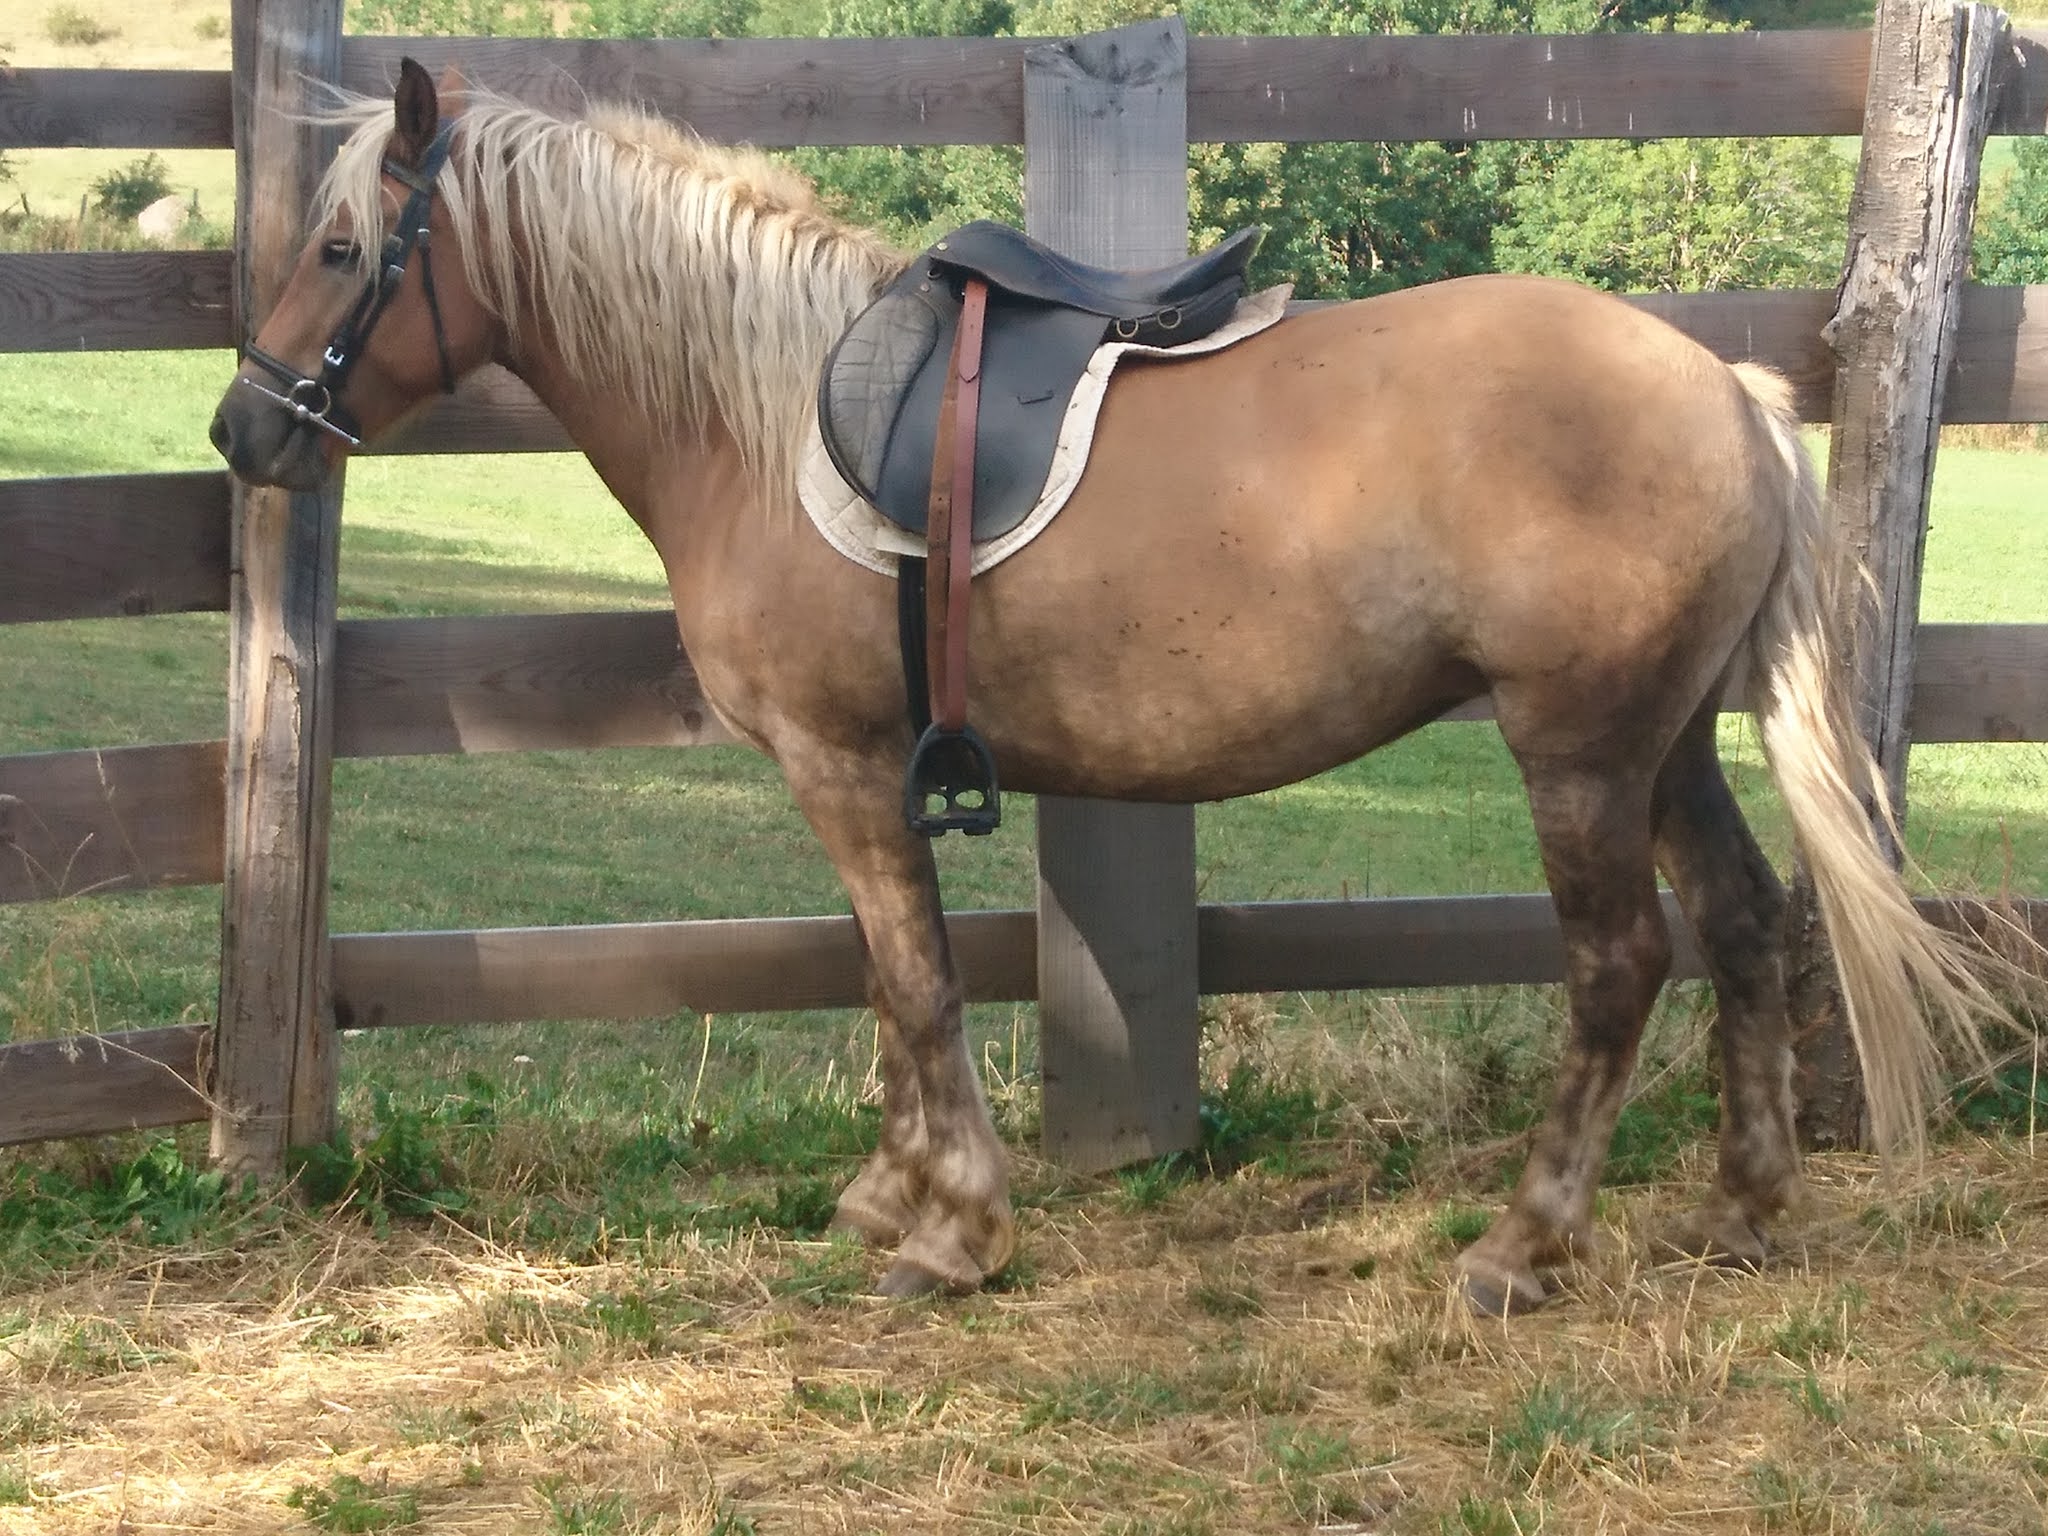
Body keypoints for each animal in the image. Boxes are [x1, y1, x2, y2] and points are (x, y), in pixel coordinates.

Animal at [210, 60, 2006, 1314]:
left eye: (343, 244)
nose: (244, 432)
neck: (764, 413)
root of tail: (1721, 384)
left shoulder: (844, 765)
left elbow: (918, 983)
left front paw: (949, 1229)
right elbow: (896, 984)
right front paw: (896, 1195)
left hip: (1578, 753)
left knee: (1621, 963)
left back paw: (1521, 1244)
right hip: (1668, 744)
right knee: (1744, 927)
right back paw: (1737, 1211)